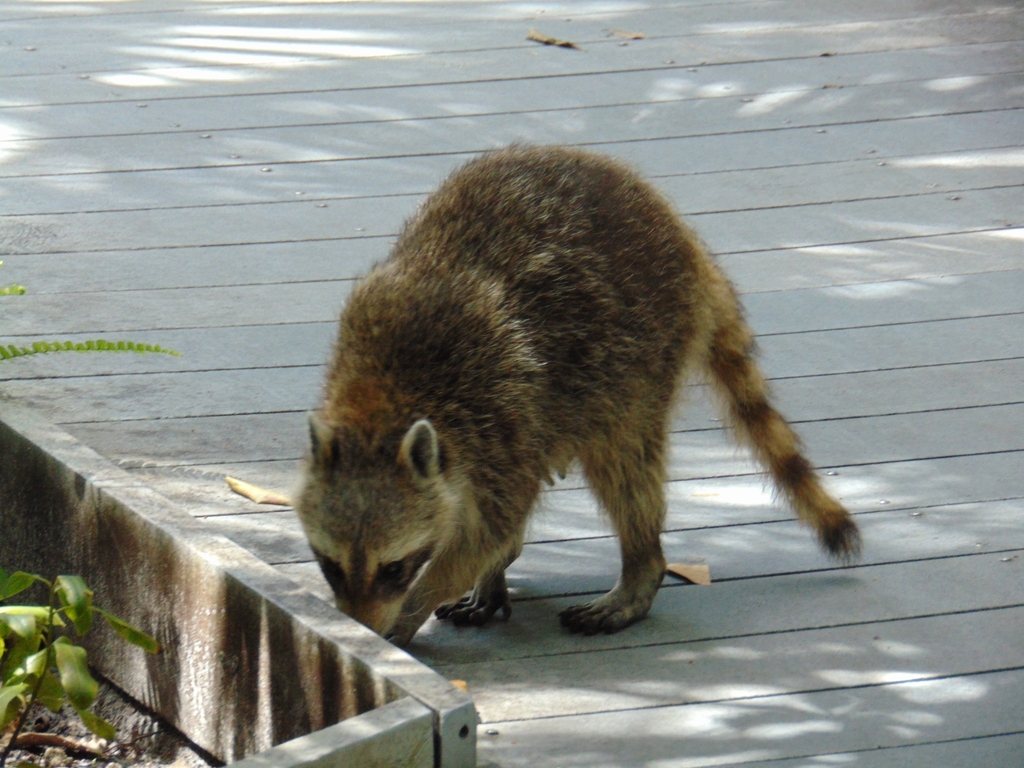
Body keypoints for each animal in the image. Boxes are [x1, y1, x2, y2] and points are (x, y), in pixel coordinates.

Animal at [294, 145, 860, 646]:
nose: (361, 630)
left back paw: (640, 567)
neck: (381, 402)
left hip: (644, 343)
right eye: (331, 565)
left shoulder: (500, 414)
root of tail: (682, 235)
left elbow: (487, 530)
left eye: (394, 568)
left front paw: (416, 606)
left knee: (625, 465)